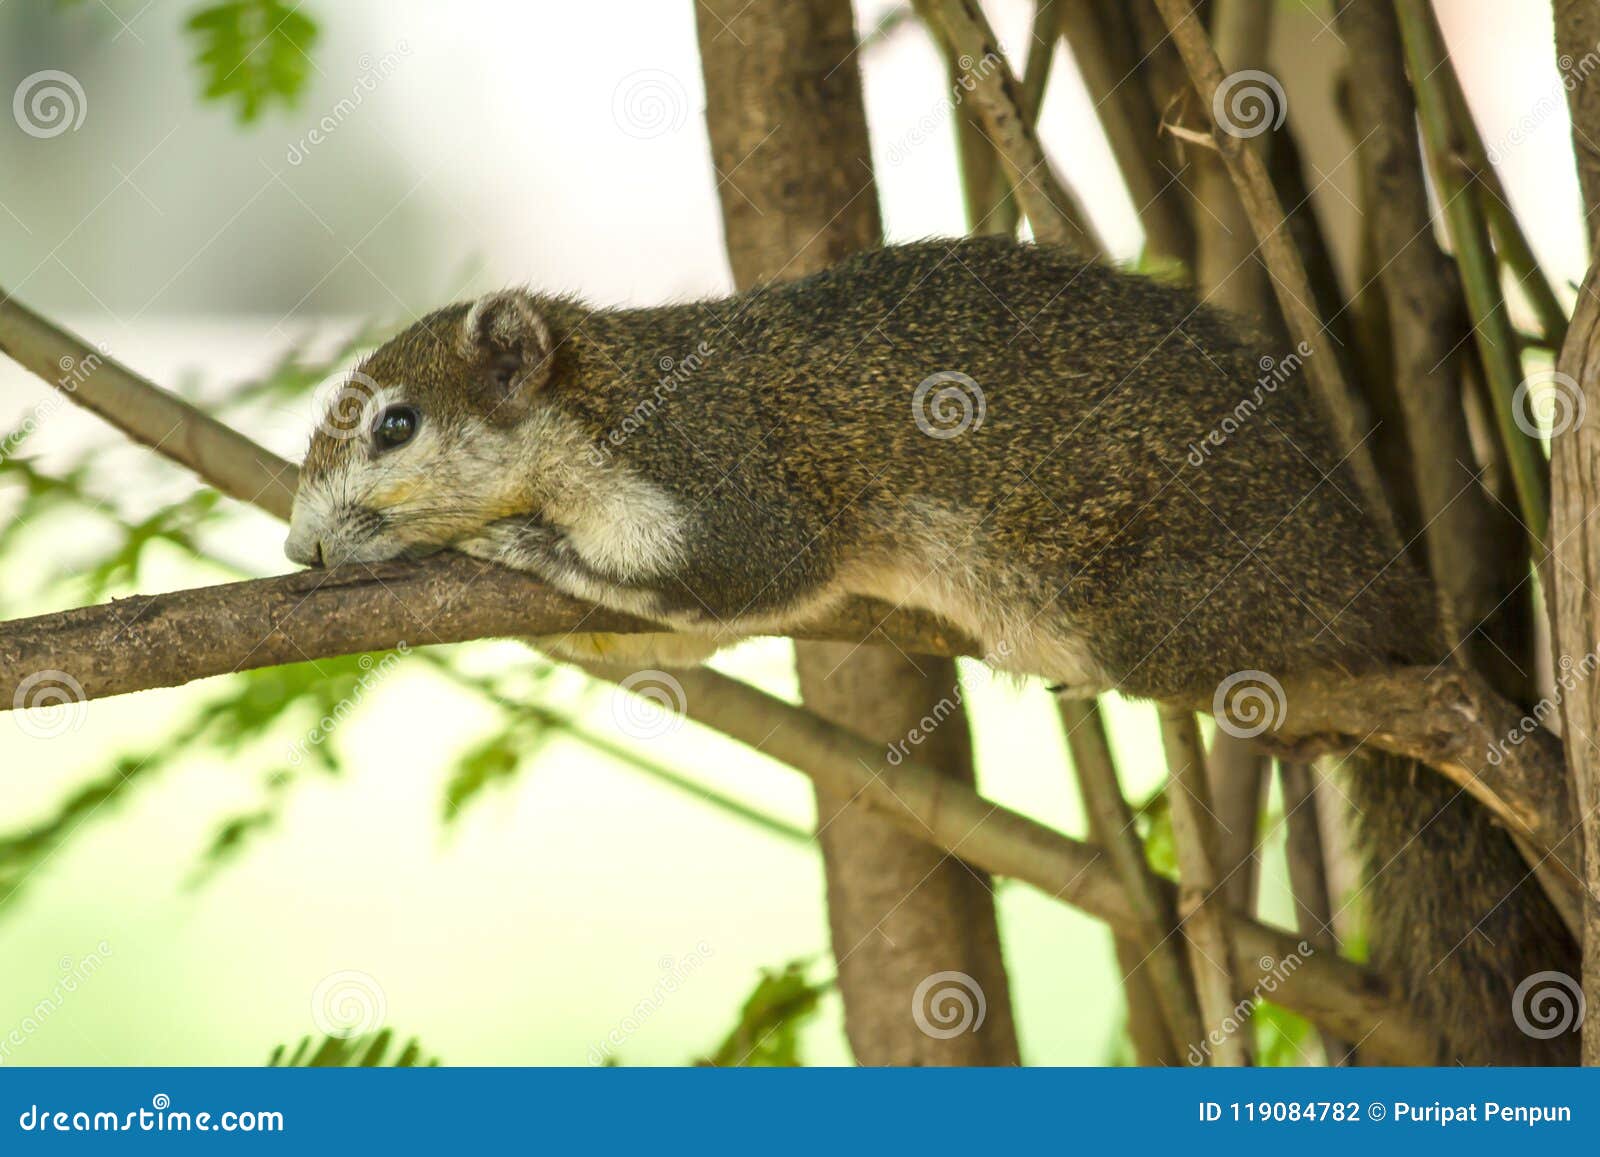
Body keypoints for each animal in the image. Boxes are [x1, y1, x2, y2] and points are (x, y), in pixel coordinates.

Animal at [285, 235, 1575, 1064]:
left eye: (395, 423)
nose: (299, 544)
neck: (606, 403)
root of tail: (1391, 600)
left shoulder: (723, 473)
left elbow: (732, 574)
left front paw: (526, 550)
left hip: (1176, 605)